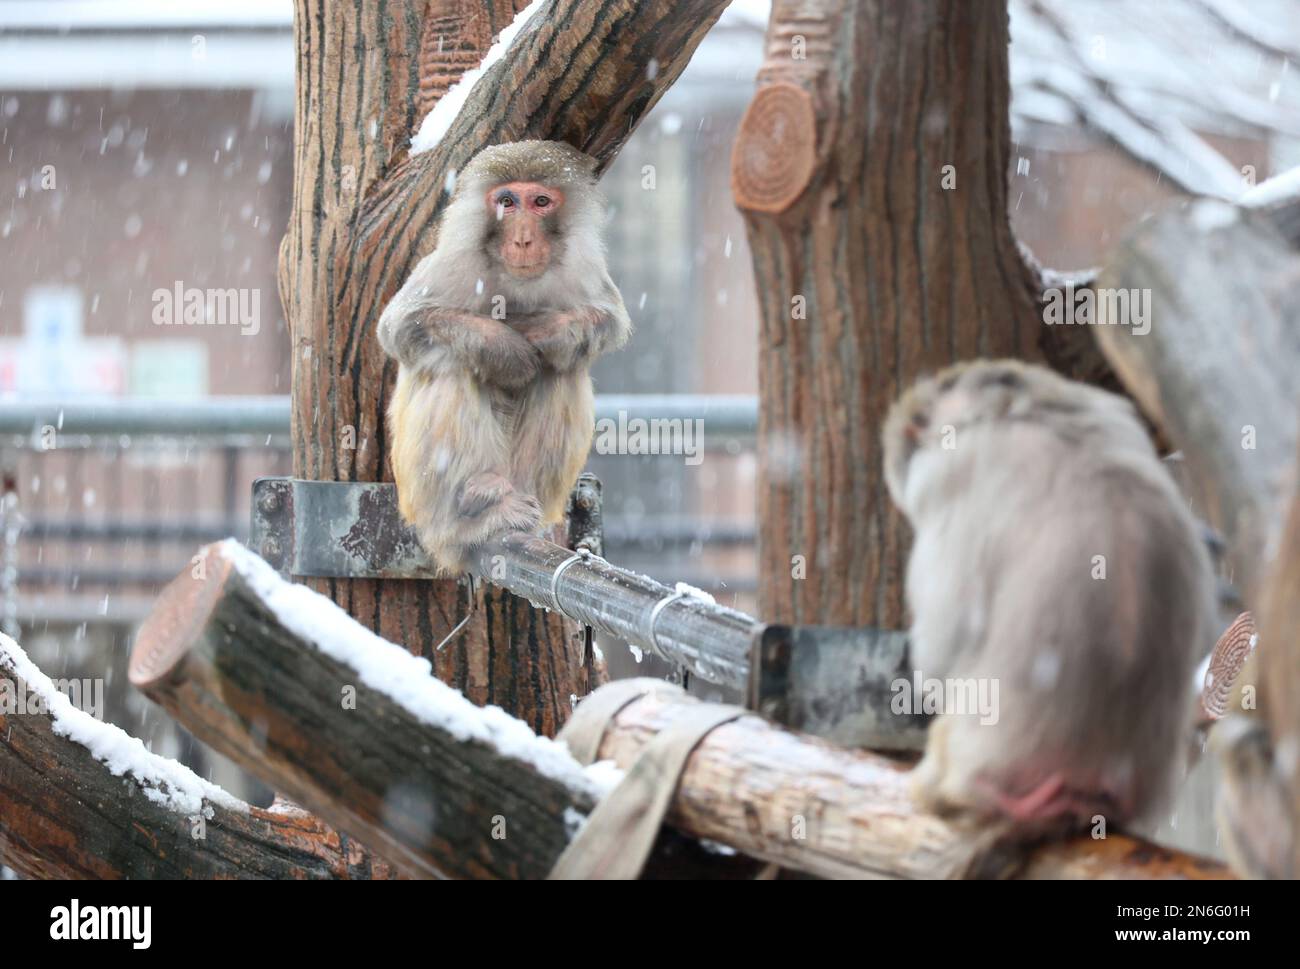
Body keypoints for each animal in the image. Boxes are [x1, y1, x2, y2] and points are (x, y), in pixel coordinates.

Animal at [377, 141, 630, 575]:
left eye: (541, 202)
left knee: (561, 370)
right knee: (451, 364)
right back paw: (473, 508)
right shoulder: (451, 264)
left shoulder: (583, 269)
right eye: (507, 202)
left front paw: (547, 330)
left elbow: (608, 319)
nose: (524, 239)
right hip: (417, 496)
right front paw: (504, 346)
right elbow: (400, 326)